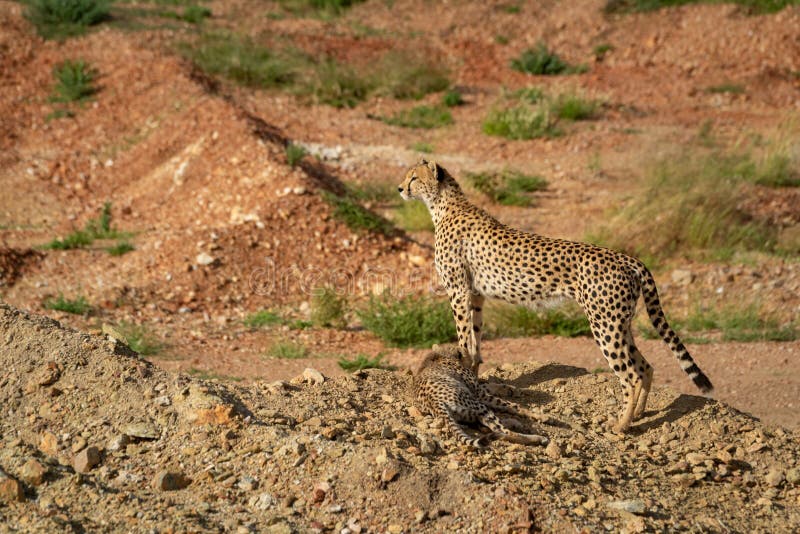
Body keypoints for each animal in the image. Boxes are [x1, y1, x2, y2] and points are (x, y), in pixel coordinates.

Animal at [398, 159, 713, 433]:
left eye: (414, 177)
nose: (400, 188)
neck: (445, 205)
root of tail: (627, 258)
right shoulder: (476, 295)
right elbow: (476, 343)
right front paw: (473, 374)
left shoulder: (459, 291)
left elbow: (464, 338)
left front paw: (464, 367)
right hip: (619, 323)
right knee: (645, 366)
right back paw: (638, 415)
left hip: (605, 327)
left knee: (631, 375)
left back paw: (621, 426)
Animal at [412, 343, 549, 448]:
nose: (471, 357)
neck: (442, 355)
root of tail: (435, 404)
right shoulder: (479, 394)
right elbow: (513, 405)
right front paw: (542, 415)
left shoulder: (478, 389)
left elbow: (494, 385)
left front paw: (514, 390)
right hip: (477, 405)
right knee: (503, 432)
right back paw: (538, 438)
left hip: (468, 414)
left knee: (486, 427)